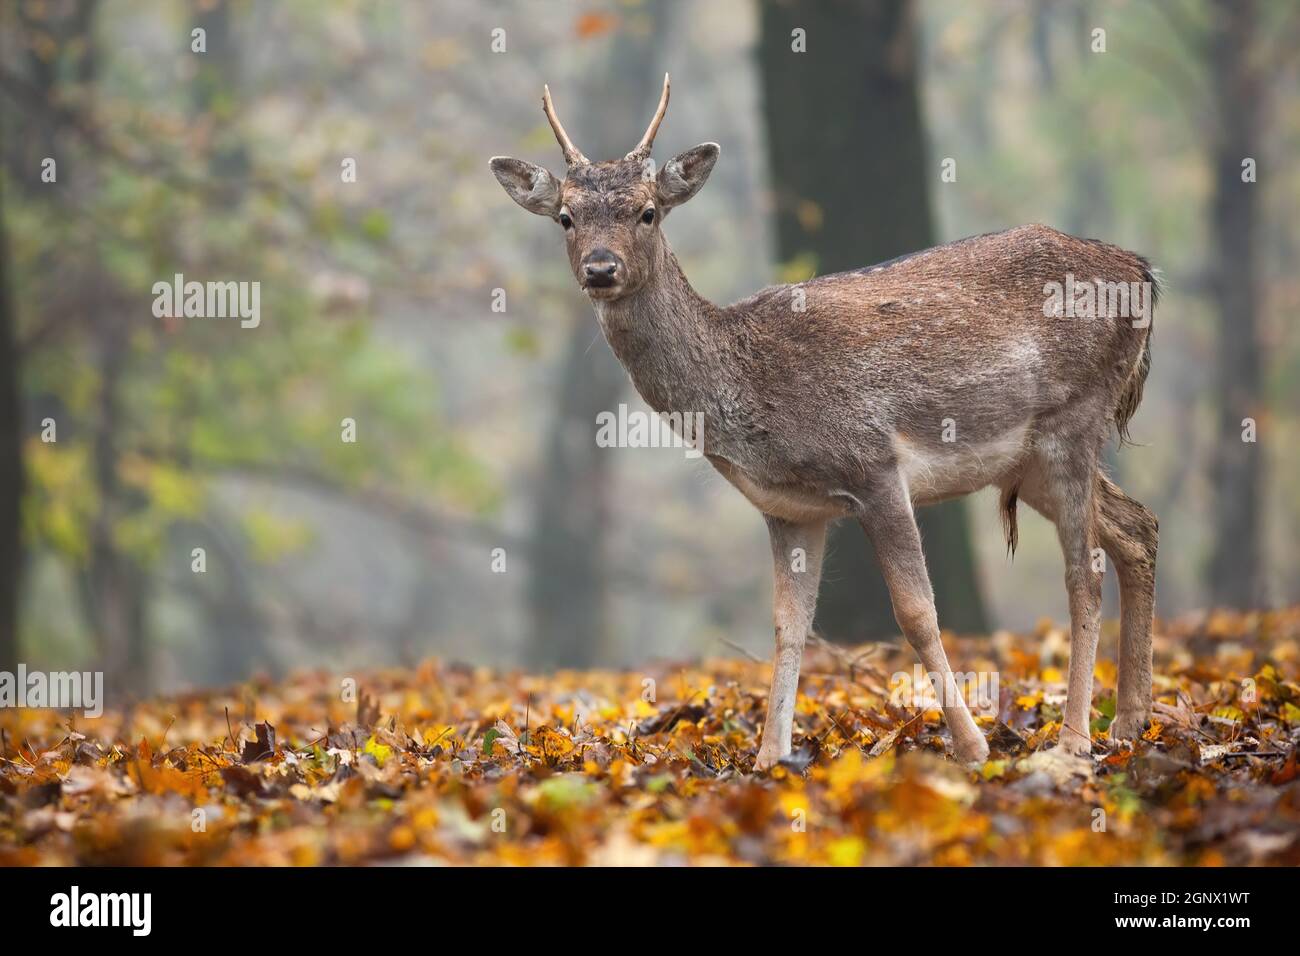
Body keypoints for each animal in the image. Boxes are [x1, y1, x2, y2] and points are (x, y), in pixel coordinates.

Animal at [490, 76, 1159, 771]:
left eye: (648, 211)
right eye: (566, 216)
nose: (600, 268)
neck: (750, 394)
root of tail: (1142, 274)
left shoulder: (874, 463)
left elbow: (916, 613)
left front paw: (972, 746)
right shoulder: (790, 509)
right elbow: (789, 626)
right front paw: (769, 757)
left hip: (1073, 416)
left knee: (1085, 573)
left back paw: (1074, 741)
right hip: (1027, 461)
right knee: (1137, 527)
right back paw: (1129, 721)